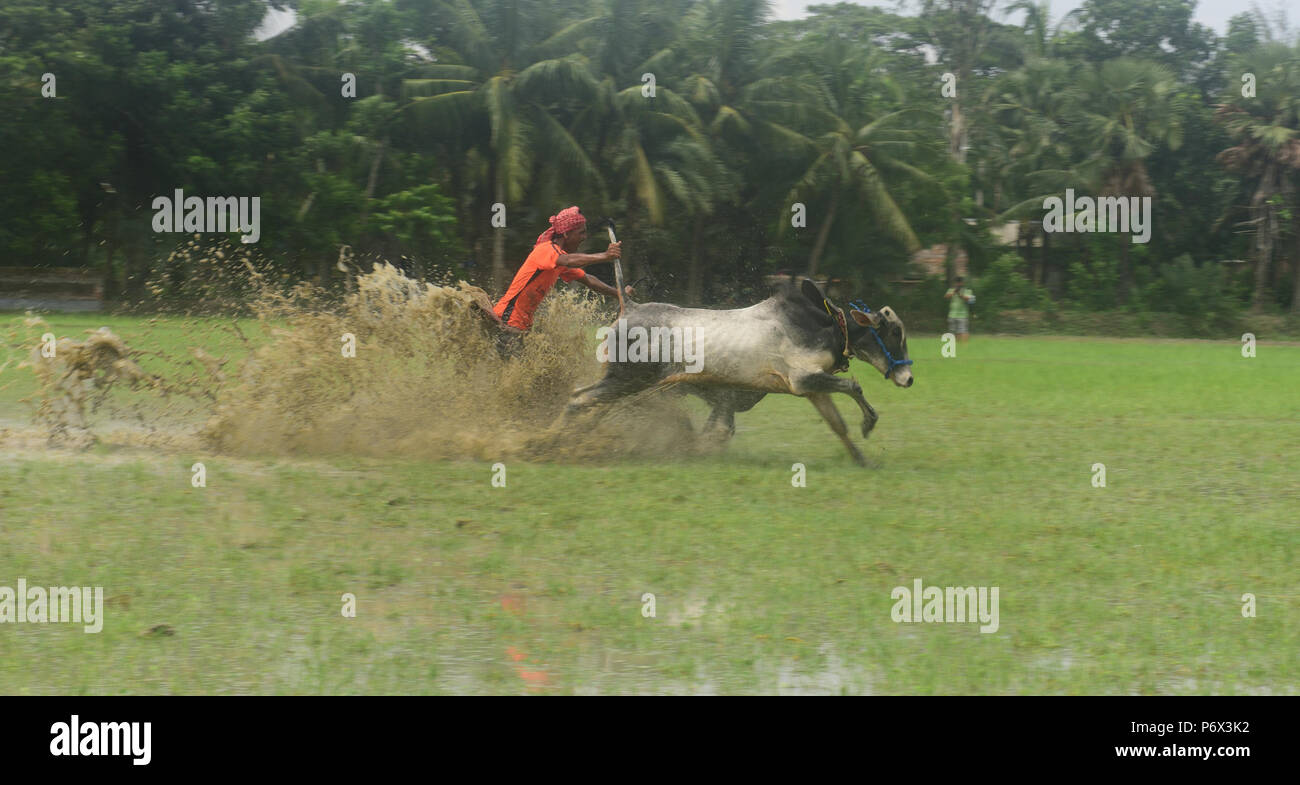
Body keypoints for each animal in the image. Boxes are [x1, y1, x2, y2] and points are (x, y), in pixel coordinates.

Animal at [563, 278, 913, 465]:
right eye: (895, 332)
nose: (908, 379)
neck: (825, 325)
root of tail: (629, 308)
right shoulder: (803, 380)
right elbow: (854, 386)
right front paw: (869, 423)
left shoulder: (811, 389)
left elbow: (838, 424)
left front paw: (861, 460)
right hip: (627, 379)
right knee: (576, 401)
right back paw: (558, 443)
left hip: (628, 383)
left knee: (585, 400)